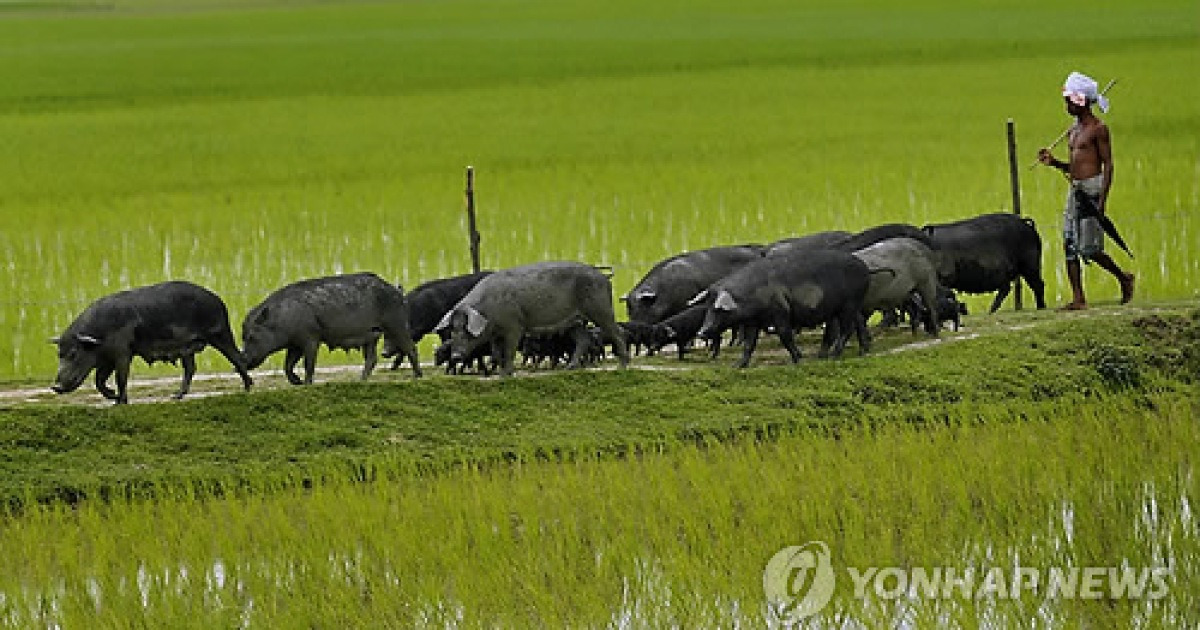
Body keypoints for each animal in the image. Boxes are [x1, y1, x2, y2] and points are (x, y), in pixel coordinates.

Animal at [51, 281, 252, 404]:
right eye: (59, 354)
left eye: (74, 353)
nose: (56, 386)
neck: (99, 336)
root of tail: (218, 300)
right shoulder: (106, 359)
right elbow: (99, 380)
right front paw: (113, 397)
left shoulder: (123, 352)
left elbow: (120, 377)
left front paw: (120, 402)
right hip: (188, 348)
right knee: (190, 368)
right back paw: (176, 396)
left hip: (219, 333)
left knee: (237, 357)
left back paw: (248, 387)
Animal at [241, 272, 421, 385]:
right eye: (243, 336)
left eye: (251, 336)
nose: (243, 359)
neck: (282, 318)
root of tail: (397, 291)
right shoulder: (294, 344)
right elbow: (288, 365)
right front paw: (297, 382)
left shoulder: (310, 339)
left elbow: (308, 364)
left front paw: (306, 384)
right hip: (372, 335)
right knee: (371, 359)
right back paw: (360, 381)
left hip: (396, 325)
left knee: (411, 348)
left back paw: (418, 376)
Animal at [437, 261, 630, 376]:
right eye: (453, 329)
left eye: (466, 329)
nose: (455, 356)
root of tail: (603, 276)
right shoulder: (495, 334)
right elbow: (496, 352)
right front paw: (499, 373)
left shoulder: (514, 326)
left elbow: (509, 350)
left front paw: (506, 374)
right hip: (574, 321)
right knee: (584, 338)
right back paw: (570, 367)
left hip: (600, 308)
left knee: (617, 331)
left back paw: (622, 366)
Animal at [695, 250, 871, 368]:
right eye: (707, 307)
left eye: (717, 310)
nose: (701, 332)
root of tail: (864, 266)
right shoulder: (753, 321)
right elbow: (749, 343)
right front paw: (737, 366)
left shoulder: (781, 311)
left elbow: (785, 336)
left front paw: (798, 359)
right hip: (852, 305)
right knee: (859, 322)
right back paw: (860, 352)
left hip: (849, 303)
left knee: (847, 329)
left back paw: (834, 355)